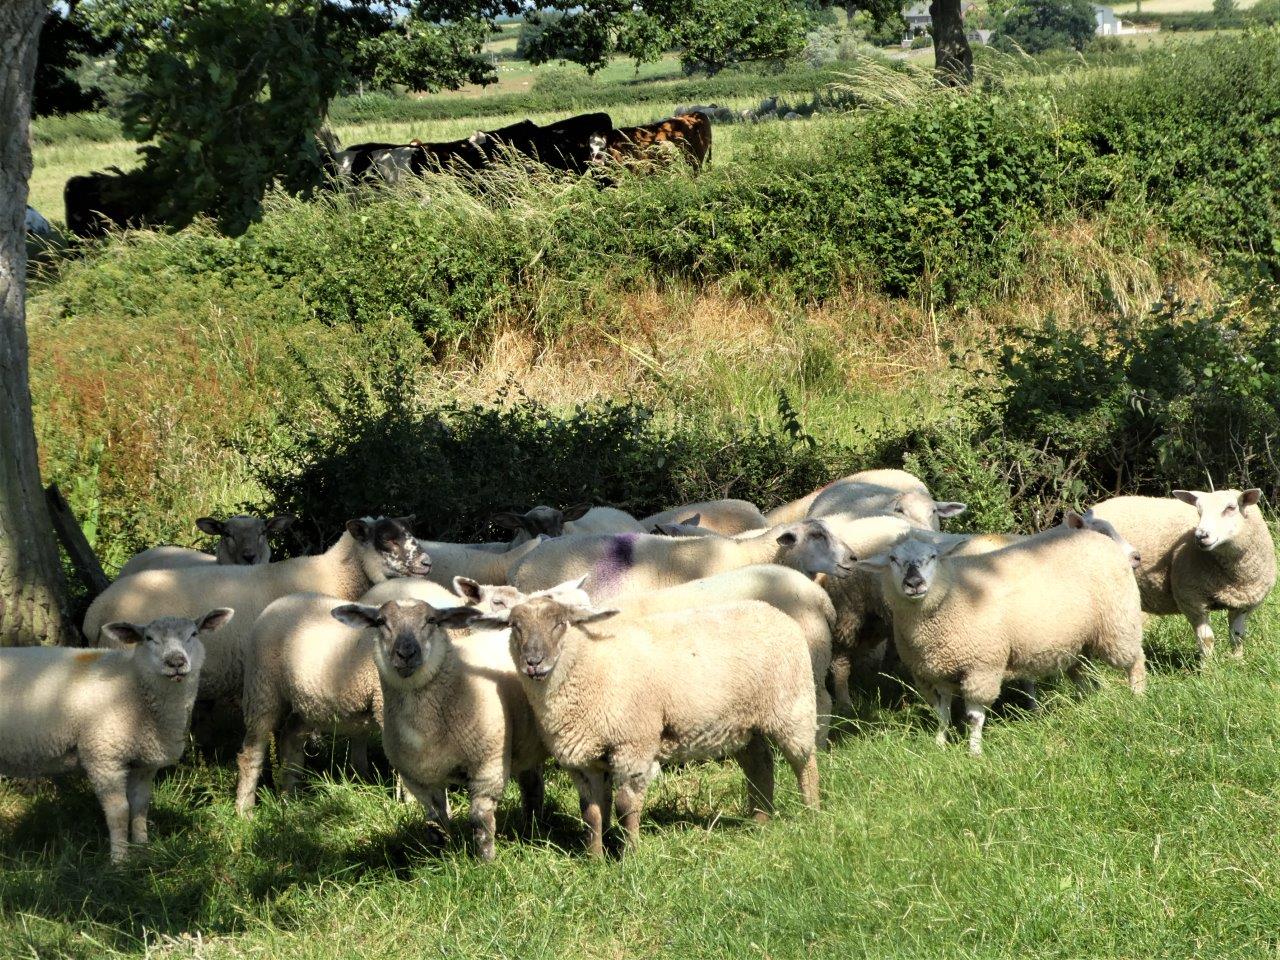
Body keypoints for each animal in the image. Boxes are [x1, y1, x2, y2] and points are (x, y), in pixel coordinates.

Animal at [0, 609, 232, 861]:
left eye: (193, 634)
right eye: (149, 638)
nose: (176, 662)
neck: (133, 685)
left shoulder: (144, 762)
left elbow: (140, 805)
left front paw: (143, 849)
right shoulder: (104, 756)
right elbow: (119, 811)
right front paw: (119, 860)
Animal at [331, 599, 548, 861]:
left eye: (431, 620)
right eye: (381, 621)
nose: (406, 653)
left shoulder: (487, 766)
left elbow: (480, 820)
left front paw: (486, 861)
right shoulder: (417, 778)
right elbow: (435, 821)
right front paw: (441, 857)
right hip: (526, 745)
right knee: (532, 783)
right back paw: (531, 826)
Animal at [472, 595, 820, 857]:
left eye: (560, 623)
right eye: (514, 626)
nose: (533, 662)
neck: (589, 664)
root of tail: (775, 611)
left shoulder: (633, 743)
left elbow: (626, 806)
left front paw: (630, 856)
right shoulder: (584, 761)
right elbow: (591, 812)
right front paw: (595, 859)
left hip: (793, 707)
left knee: (804, 762)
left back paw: (811, 814)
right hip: (743, 723)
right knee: (760, 764)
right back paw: (760, 821)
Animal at [859, 529, 1146, 755]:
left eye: (932, 557)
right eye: (893, 559)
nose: (914, 583)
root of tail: (1100, 537)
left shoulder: (981, 668)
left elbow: (974, 717)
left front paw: (974, 752)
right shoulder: (936, 673)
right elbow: (942, 713)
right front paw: (939, 744)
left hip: (1119, 623)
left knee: (1135, 660)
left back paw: (1137, 696)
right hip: (1076, 640)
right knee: (1081, 673)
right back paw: (1086, 702)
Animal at [1087, 490, 1276, 658]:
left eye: (1230, 508)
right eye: (1199, 511)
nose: (1201, 536)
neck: (1233, 577)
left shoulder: (1245, 603)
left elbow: (1238, 636)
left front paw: (1237, 661)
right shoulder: (1191, 598)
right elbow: (1206, 639)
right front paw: (1208, 668)